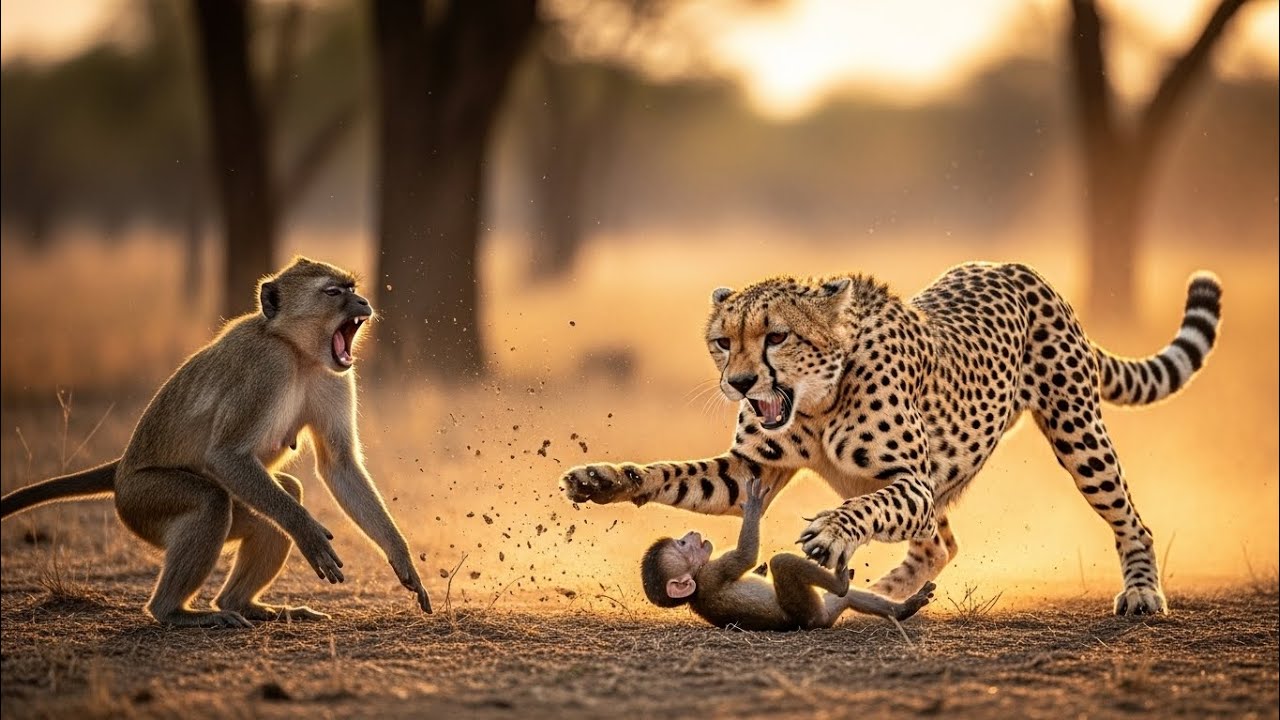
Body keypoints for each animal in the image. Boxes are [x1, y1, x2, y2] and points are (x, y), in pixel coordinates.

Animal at [1, 257, 431, 628]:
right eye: (333, 292)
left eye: (352, 288)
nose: (363, 302)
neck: (295, 349)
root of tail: (122, 468)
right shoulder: (266, 367)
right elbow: (225, 455)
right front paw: (306, 531)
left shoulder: (334, 376)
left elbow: (339, 464)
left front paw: (401, 557)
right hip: (141, 501)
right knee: (212, 502)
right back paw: (174, 611)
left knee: (282, 493)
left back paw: (240, 604)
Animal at [641, 479, 934, 630]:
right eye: (682, 544)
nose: (691, 534)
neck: (697, 580)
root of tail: (814, 623)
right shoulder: (713, 572)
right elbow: (746, 557)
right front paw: (753, 505)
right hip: (808, 610)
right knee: (785, 565)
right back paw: (841, 582)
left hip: (822, 611)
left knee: (845, 598)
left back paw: (904, 608)